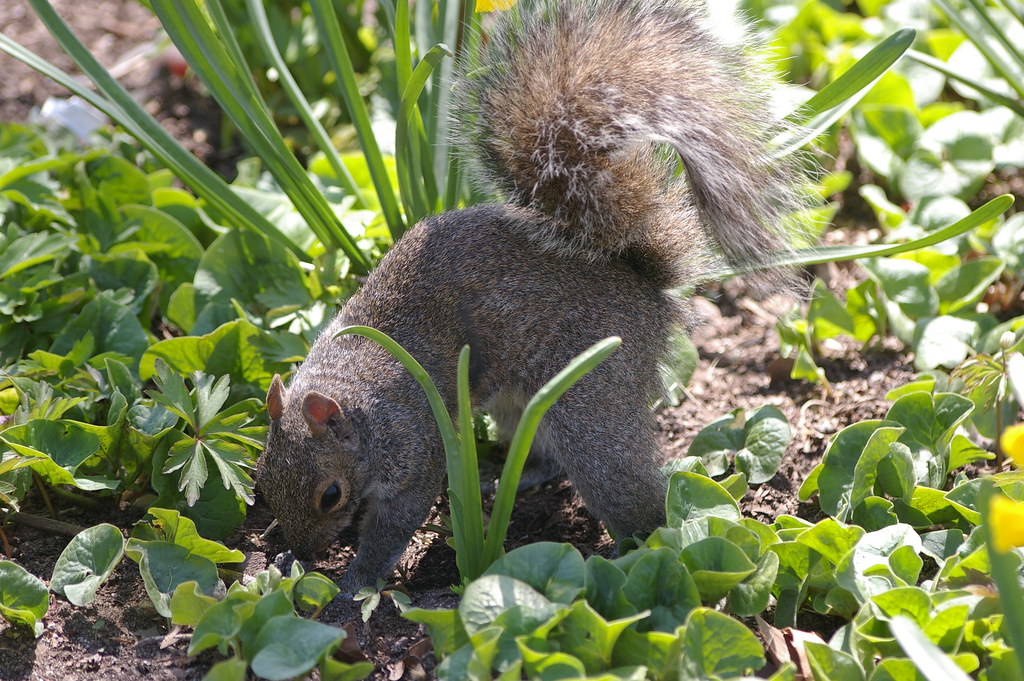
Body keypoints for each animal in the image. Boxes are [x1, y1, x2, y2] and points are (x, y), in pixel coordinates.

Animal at [256, 0, 809, 595]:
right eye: (262, 481)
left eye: (331, 494)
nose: (305, 552)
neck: (353, 396)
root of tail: (644, 287)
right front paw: (284, 563)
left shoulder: (414, 448)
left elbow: (395, 521)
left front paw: (353, 580)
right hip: (518, 400)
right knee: (545, 450)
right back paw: (507, 476)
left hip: (592, 397)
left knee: (625, 489)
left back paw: (630, 555)